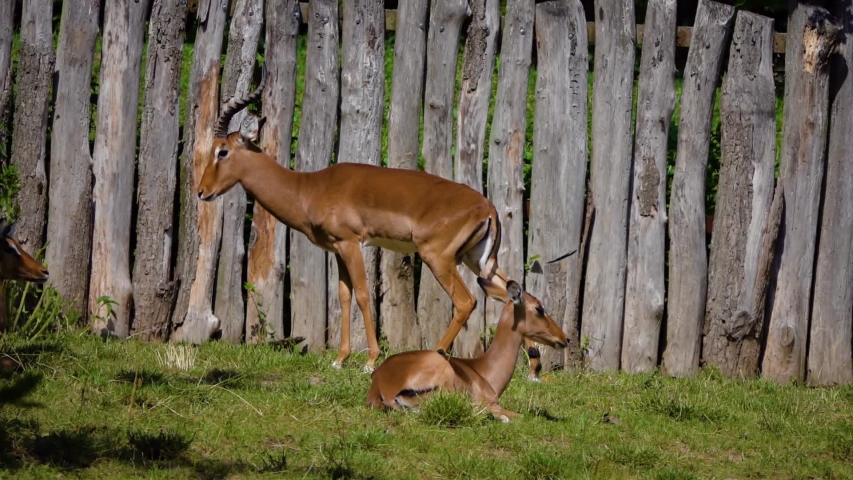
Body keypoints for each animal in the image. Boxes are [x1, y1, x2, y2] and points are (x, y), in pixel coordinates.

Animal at [197, 67, 548, 378]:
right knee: (514, 292)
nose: (202, 191)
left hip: (439, 258)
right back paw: (532, 365)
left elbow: (364, 295)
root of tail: (488, 207)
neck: (308, 188)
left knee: (466, 302)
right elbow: (343, 297)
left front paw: (370, 361)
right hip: (480, 262)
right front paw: (339, 360)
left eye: (222, 151)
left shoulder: (351, 243)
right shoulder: (337, 250)